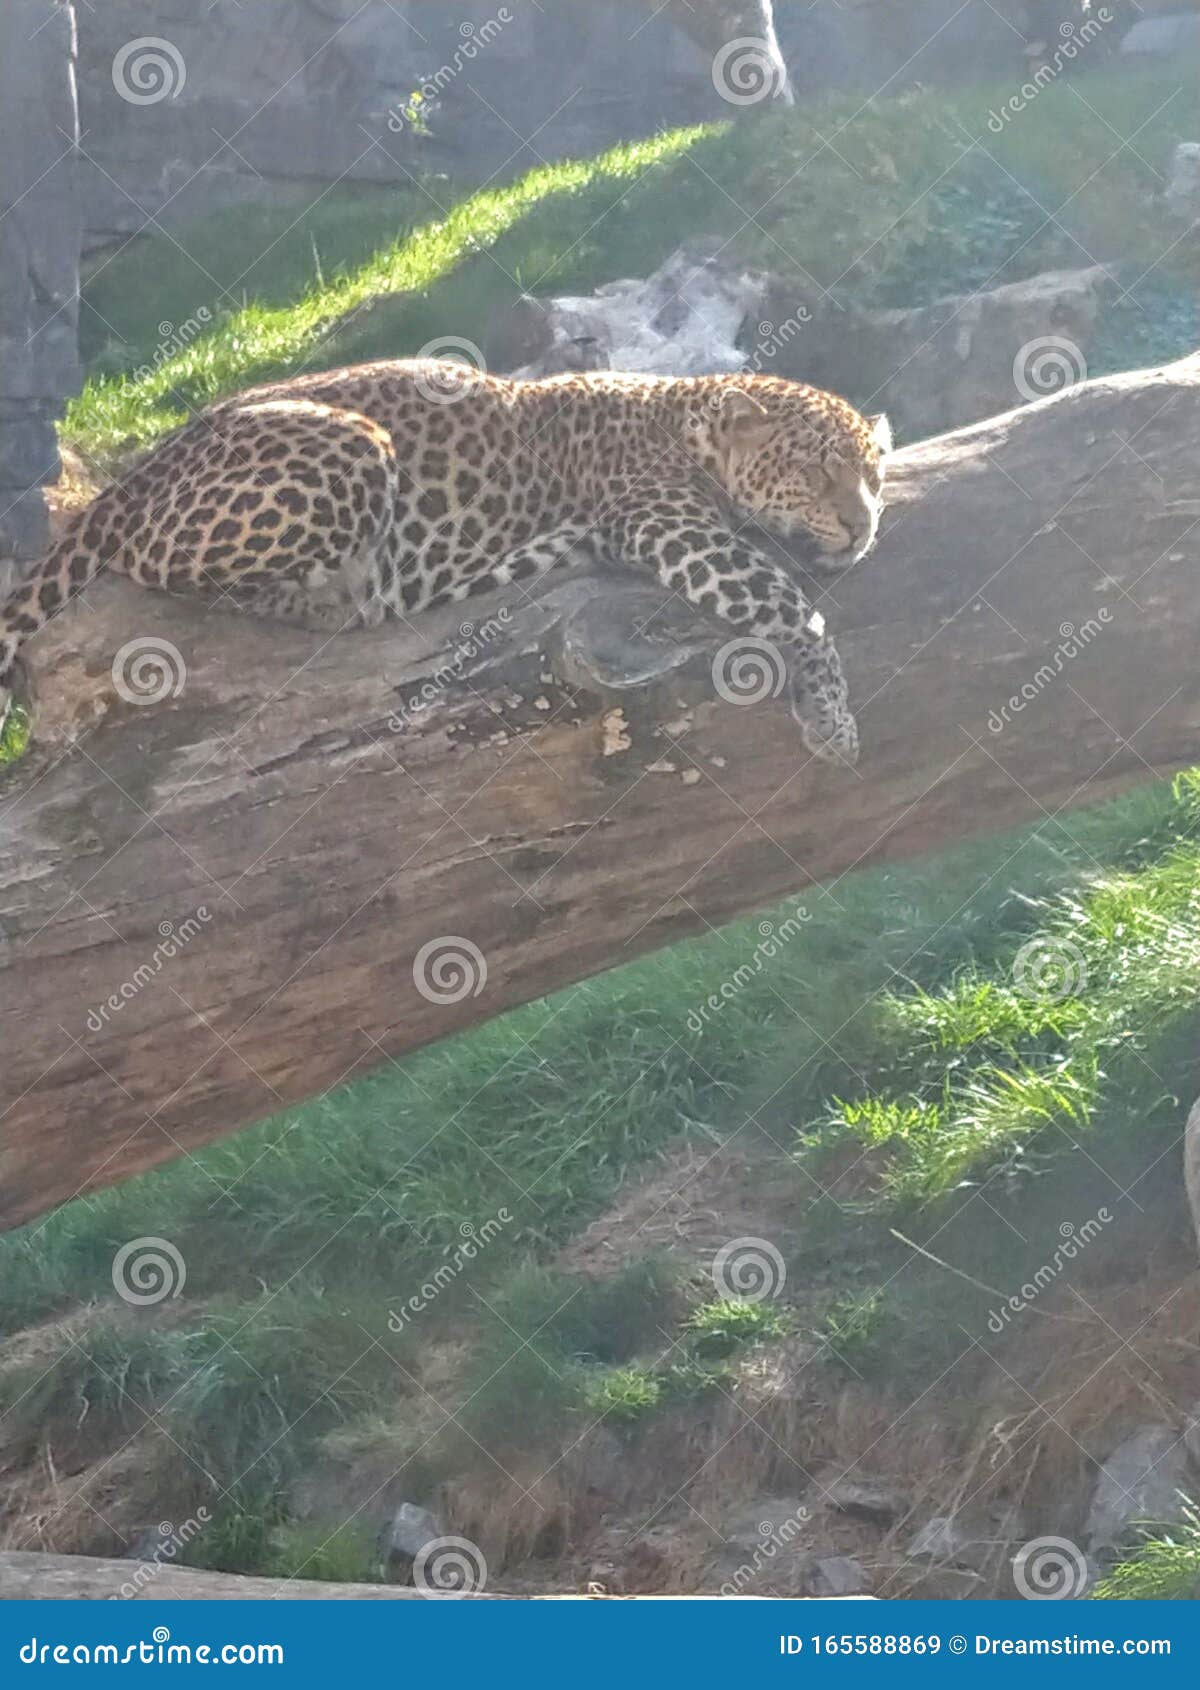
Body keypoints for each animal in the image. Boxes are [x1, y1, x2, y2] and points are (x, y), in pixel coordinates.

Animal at [0, 362, 890, 763]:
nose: (862, 522)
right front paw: (831, 719)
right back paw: (342, 598)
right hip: (348, 445)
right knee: (166, 572)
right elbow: (793, 609)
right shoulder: (669, 528)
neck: (682, 414)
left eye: (872, 473)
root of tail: (126, 478)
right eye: (814, 472)